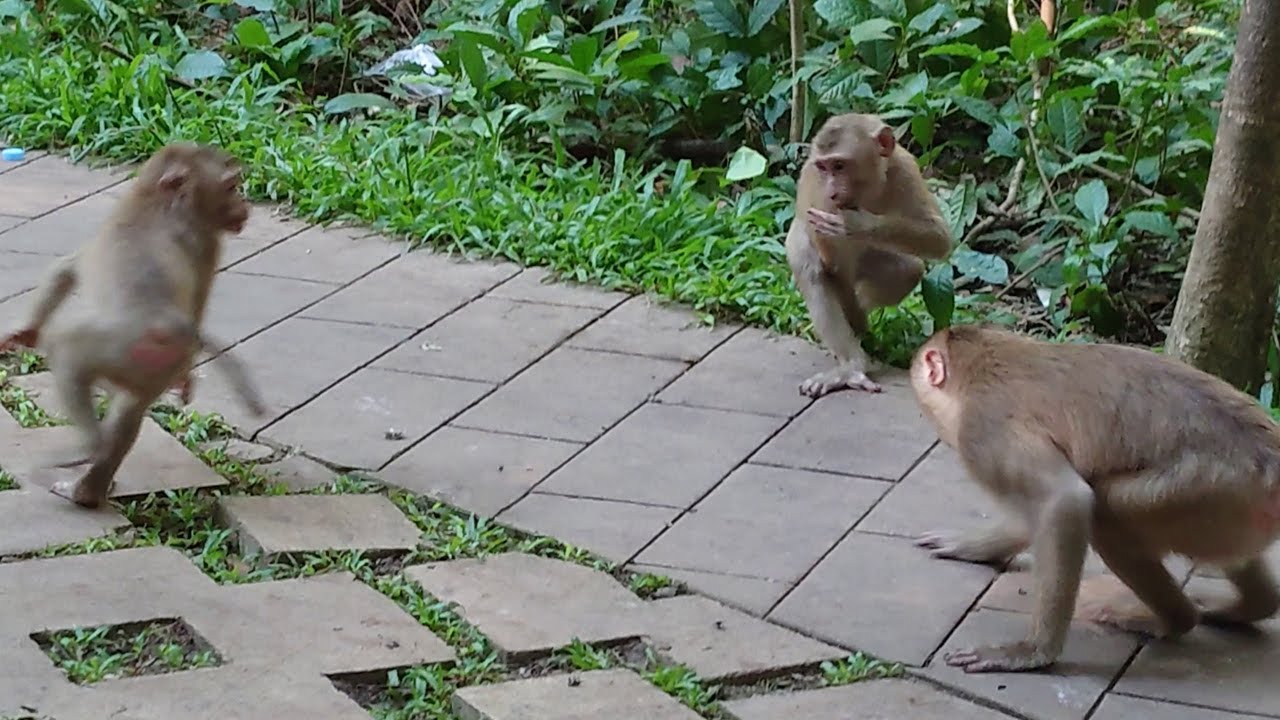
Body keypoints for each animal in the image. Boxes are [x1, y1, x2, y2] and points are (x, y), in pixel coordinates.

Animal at [0, 142, 267, 508]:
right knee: (131, 408)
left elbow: (68, 268)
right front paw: (186, 381)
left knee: (68, 349)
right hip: (153, 364)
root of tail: (167, 323)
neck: (165, 202)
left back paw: (89, 449)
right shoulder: (211, 246)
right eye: (230, 186)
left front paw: (27, 331)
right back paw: (90, 490)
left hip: (117, 347)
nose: (244, 205)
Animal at [785, 112, 952, 398]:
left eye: (839, 166)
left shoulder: (904, 168)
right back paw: (850, 364)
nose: (832, 189)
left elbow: (939, 237)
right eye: (824, 167)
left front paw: (858, 224)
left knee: (908, 270)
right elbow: (827, 262)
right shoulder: (816, 187)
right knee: (810, 262)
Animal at [910, 323, 1280, 674]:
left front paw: (1032, 653)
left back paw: (1177, 618)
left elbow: (1064, 500)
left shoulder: (983, 431)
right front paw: (974, 546)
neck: (985, 360)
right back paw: (1250, 606)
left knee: (1107, 518)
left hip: (1209, 491)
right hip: (1235, 508)